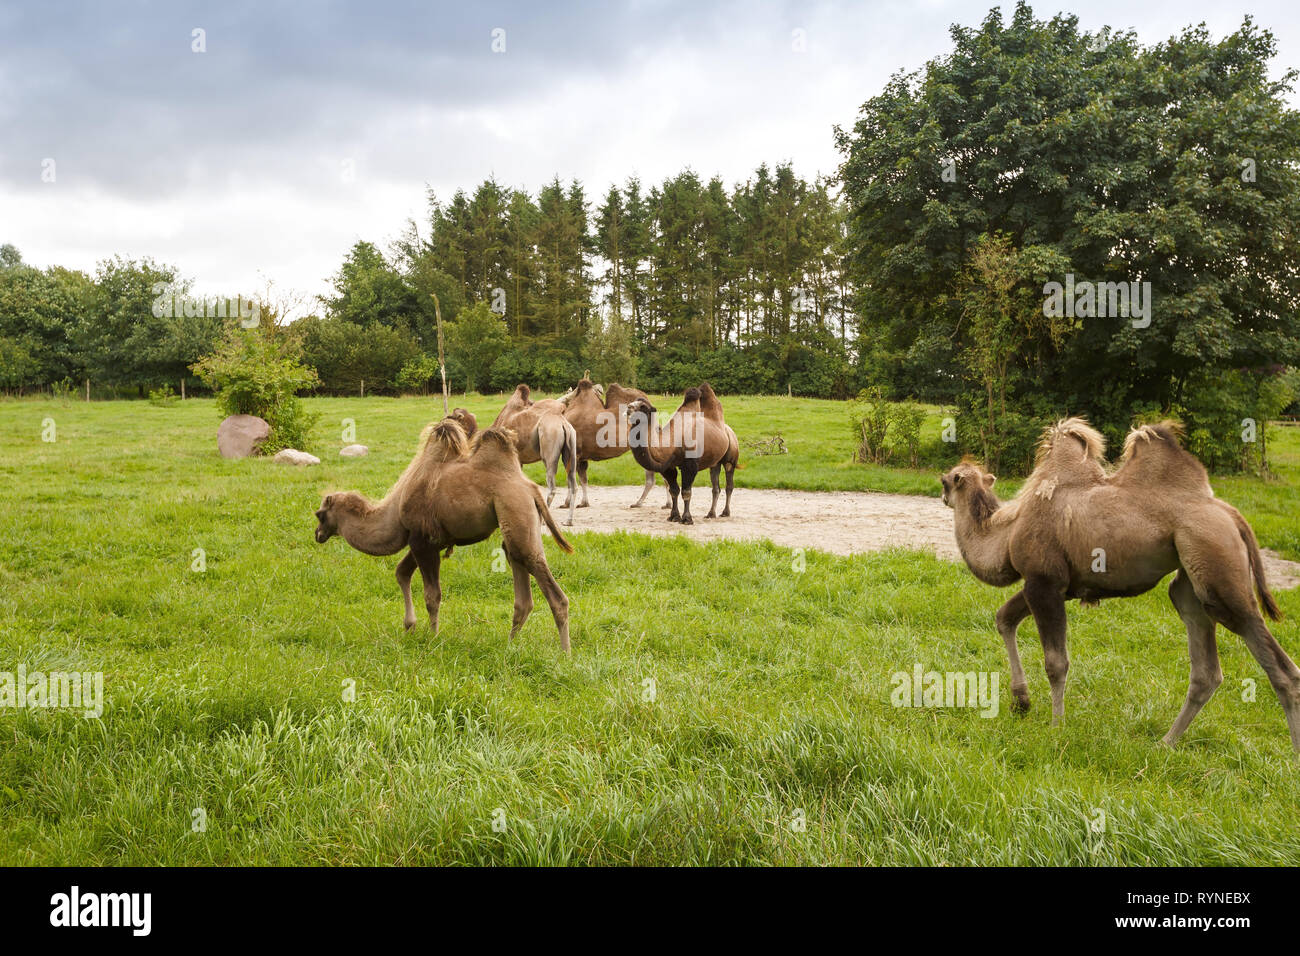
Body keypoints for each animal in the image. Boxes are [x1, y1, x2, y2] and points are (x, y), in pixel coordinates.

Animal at [313, 417, 574, 652]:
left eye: (319, 514)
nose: (317, 534)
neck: (394, 512)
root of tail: (530, 488)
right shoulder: (427, 541)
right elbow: (402, 572)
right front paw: (410, 627)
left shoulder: (422, 540)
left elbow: (432, 595)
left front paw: (433, 637)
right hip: (514, 524)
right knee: (520, 582)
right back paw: (509, 646)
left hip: (515, 509)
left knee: (551, 589)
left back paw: (565, 654)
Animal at [492, 384, 579, 526]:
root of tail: (562, 422)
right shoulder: (519, 460)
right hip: (571, 449)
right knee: (573, 484)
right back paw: (568, 521)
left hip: (549, 450)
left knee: (552, 487)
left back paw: (543, 520)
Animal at [557, 377, 661, 508]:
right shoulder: (582, 456)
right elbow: (583, 479)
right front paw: (584, 503)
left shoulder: (574, 453)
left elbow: (570, 480)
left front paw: (566, 503)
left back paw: (641, 503)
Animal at [624, 383, 739, 524]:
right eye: (633, 401)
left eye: (643, 406)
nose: (628, 407)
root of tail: (729, 430)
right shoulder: (668, 467)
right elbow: (674, 490)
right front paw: (673, 516)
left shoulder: (690, 465)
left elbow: (686, 492)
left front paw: (687, 519)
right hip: (715, 462)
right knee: (715, 487)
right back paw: (711, 514)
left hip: (731, 457)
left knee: (729, 485)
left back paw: (725, 512)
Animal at [941, 417, 1300, 752]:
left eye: (947, 480)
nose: (943, 493)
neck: (1007, 532)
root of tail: (1232, 515)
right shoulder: (1054, 585)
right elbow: (1004, 617)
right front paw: (1021, 702)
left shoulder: (1043, 581)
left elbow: (1056, 662)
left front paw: (1056, 728)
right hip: (1190, 579)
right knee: (1205, 669)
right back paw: (1166, 742)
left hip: (1218, 565)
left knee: (1279, 666)